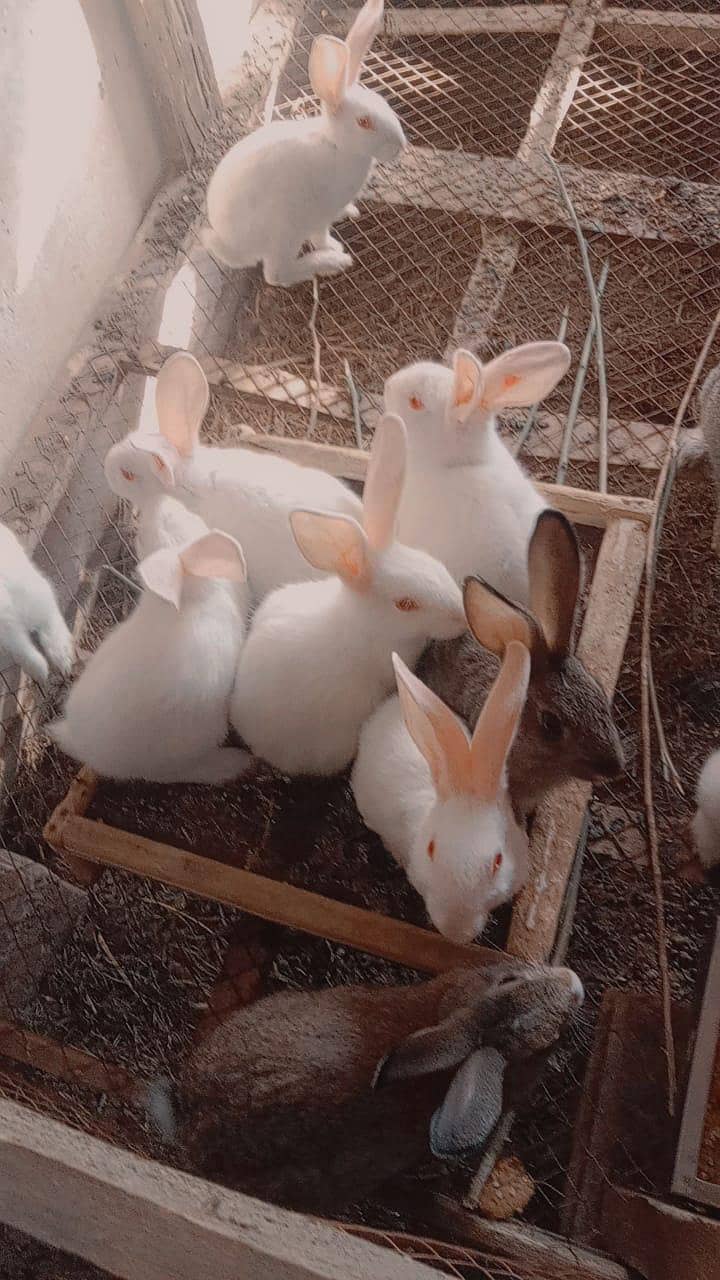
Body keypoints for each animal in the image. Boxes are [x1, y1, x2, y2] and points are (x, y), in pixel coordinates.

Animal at [49, 498, 250, 784]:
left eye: (190, 516)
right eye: (142, 537)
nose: (163, 501)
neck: (191, 594)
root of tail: (81, 744)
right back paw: (234, 763)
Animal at [200, 0, 405, 287]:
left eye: (383, 102)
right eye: (364, 122)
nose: (400, 145)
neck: (336, 145)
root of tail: (229, 245)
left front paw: (350, 211)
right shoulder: (318, 217)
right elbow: (321, 237)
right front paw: (334, 249)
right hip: (284, 232)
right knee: (276, 274)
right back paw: (331, 262)